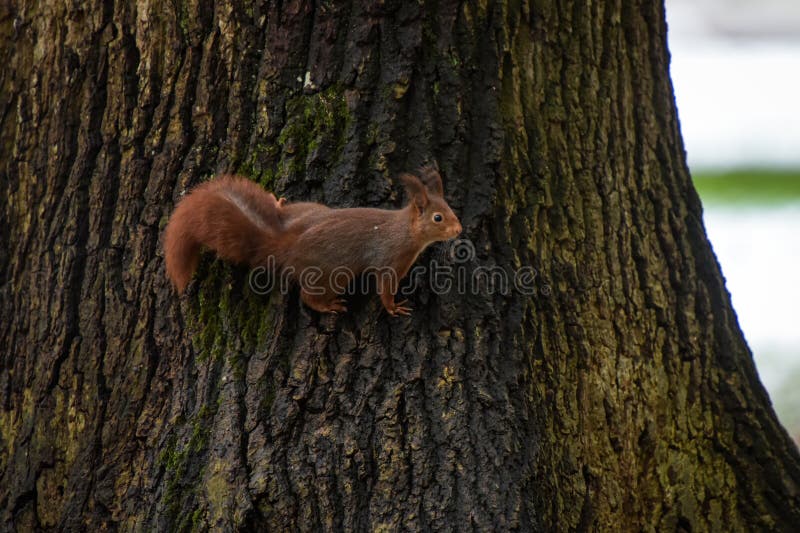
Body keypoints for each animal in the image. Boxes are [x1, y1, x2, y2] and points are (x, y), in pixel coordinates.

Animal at [163, 167, 462, 315]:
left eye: (451, 208)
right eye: (438, 218)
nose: (458, 230)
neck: (406, 231)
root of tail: (288, 244)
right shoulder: (390, 259)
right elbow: (385, 288)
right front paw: (394, 307)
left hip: (309, 210)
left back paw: (277, 202)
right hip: (331, 274)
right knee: (308, 296)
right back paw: (327, 306)